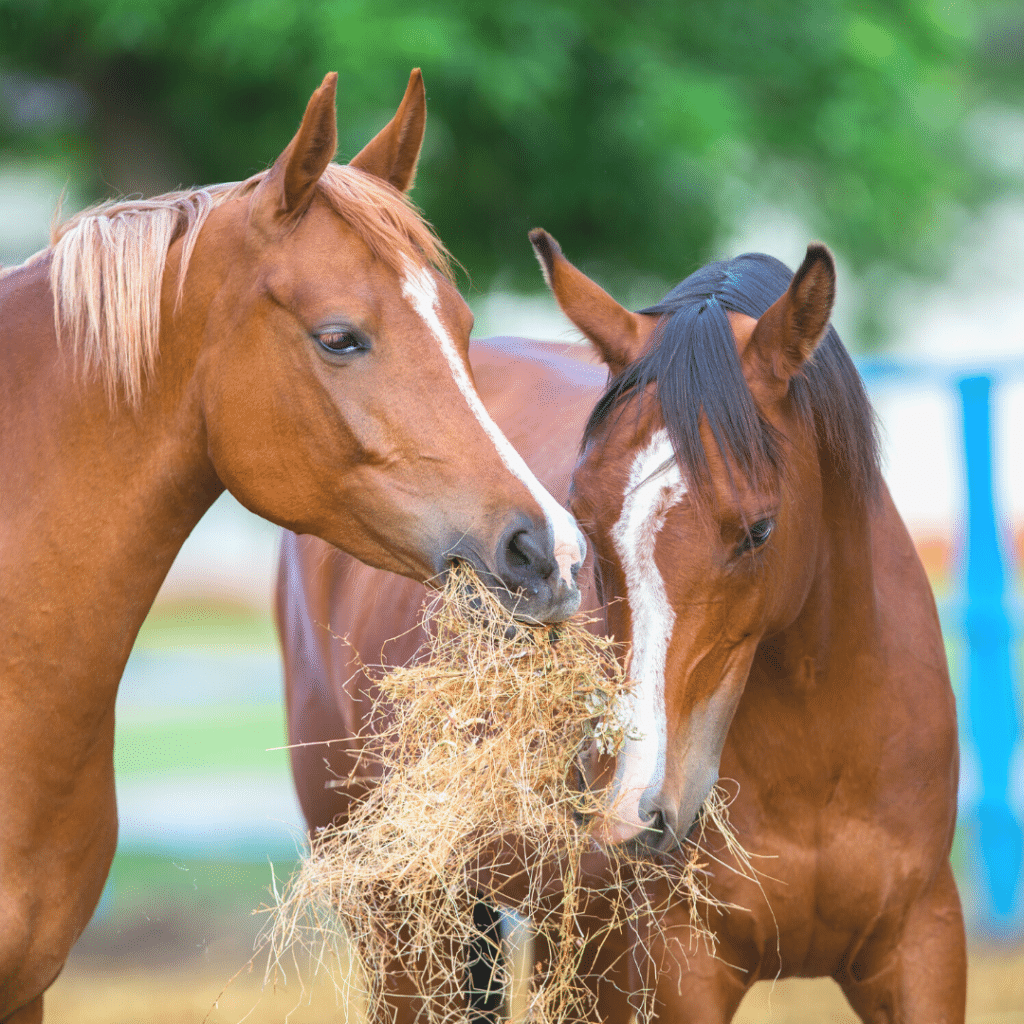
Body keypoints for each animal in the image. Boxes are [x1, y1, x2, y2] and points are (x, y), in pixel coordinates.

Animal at [277, 234, 965, 1022]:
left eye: (759, 530)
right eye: (584, 517)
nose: (635, 808)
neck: (821, 754)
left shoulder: (921, 947)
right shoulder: (671, 972)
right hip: (406, 931)